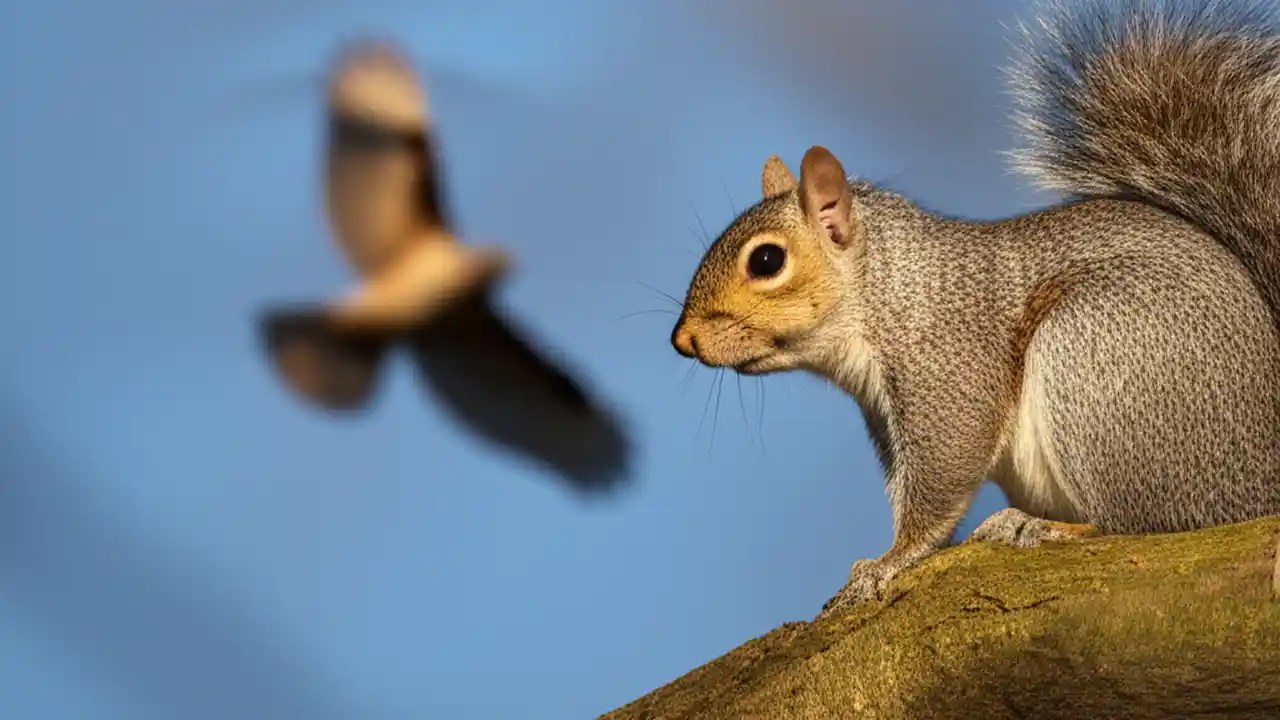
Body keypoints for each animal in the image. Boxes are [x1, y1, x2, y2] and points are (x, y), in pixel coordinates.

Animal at [671, 0, 1280, 617]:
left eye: (767, 260)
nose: (683, 340)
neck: (889, 290)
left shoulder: (950, 367)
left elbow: (944, 477)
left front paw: (888, 562)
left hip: (1098, 360)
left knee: (1142, 524)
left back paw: (1041, 529)